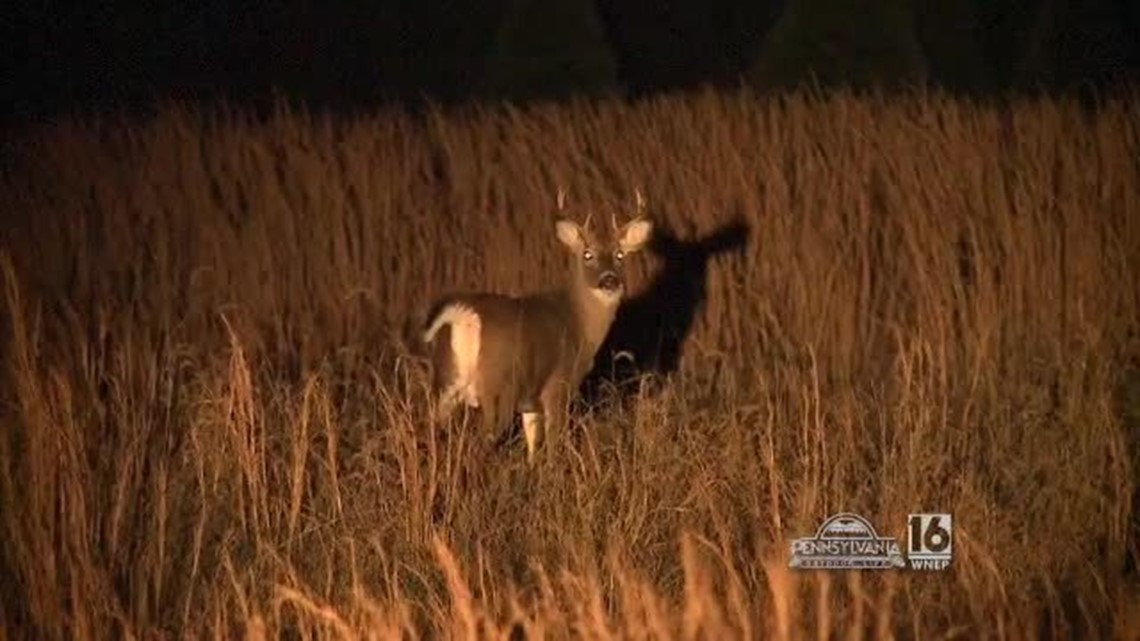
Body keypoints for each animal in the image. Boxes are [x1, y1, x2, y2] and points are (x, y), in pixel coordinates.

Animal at [421, 190, 654, 464]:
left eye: (620, 255)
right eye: (588, 254)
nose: (609, 280)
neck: (578, 325)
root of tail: (463, 315)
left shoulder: (529, 401)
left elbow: (533, 445)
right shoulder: (558, 386)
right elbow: (554, 445)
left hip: (446, 382)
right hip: (498, 389)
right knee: (480, 443)